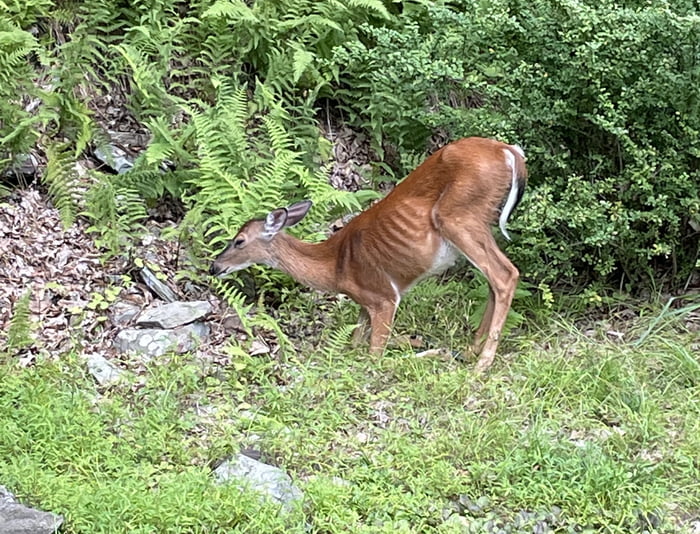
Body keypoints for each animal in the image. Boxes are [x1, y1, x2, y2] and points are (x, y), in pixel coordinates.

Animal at [210, 137, 527, 372]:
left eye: (238, 241)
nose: (215, 266)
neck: (336, 268)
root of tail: (508, 151)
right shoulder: (365, 304)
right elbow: (355, 345)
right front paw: (421, 344)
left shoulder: (383, 297)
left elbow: (374, 358)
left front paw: (436, 351)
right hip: (479, 220)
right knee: (494, 279)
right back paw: (471, 350)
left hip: (458, 215)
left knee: (505, 274)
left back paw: (481, 364)